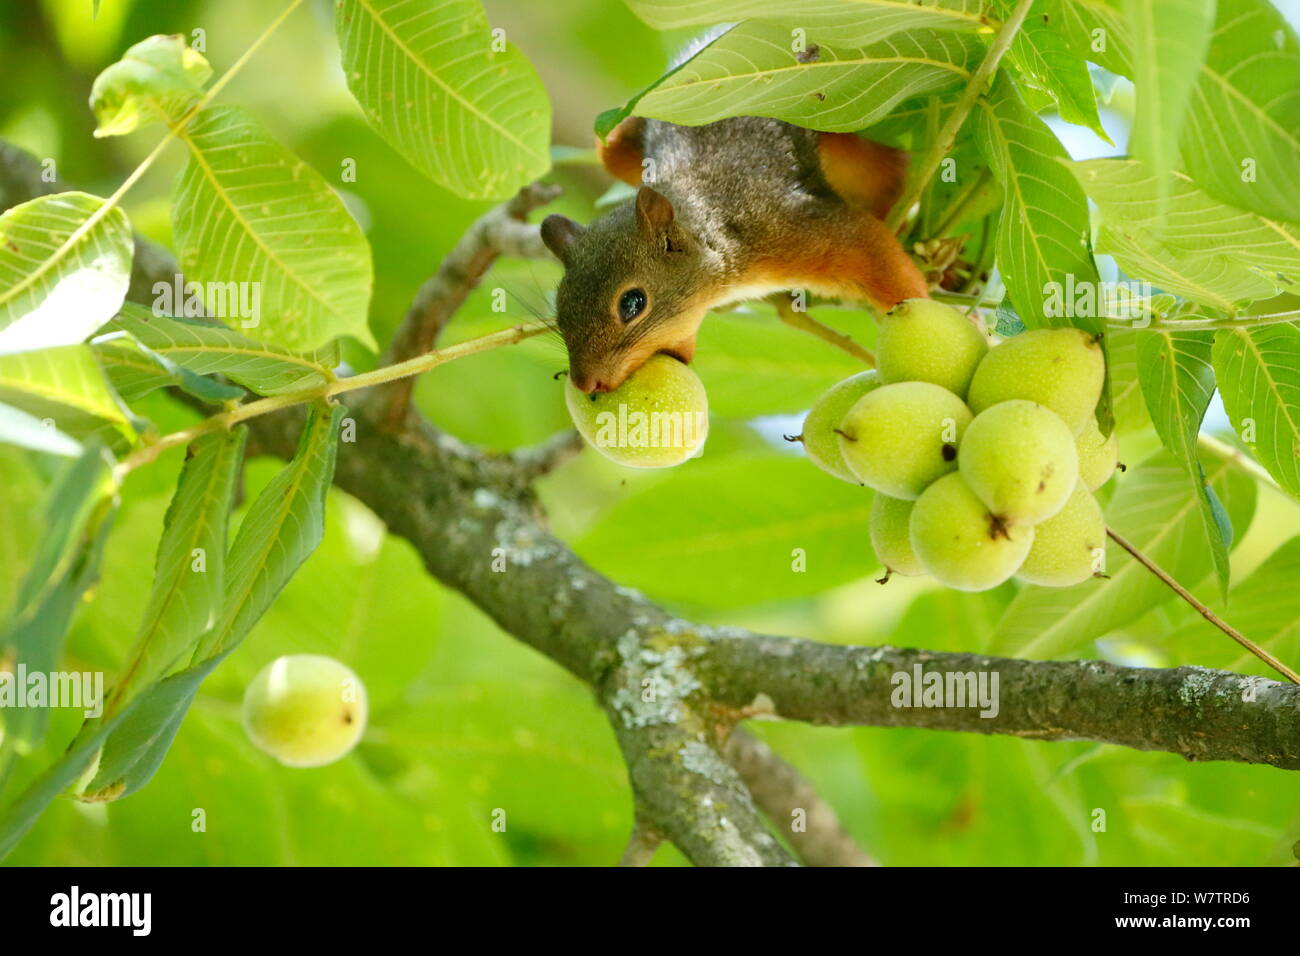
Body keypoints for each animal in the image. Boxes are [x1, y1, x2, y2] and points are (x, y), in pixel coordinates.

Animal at [541, 115, 930, 393]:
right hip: (617, 143)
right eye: (560, 307)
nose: (585, 382)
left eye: (633, 303)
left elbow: (872, 251)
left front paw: (921, 308)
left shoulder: (796, 230)